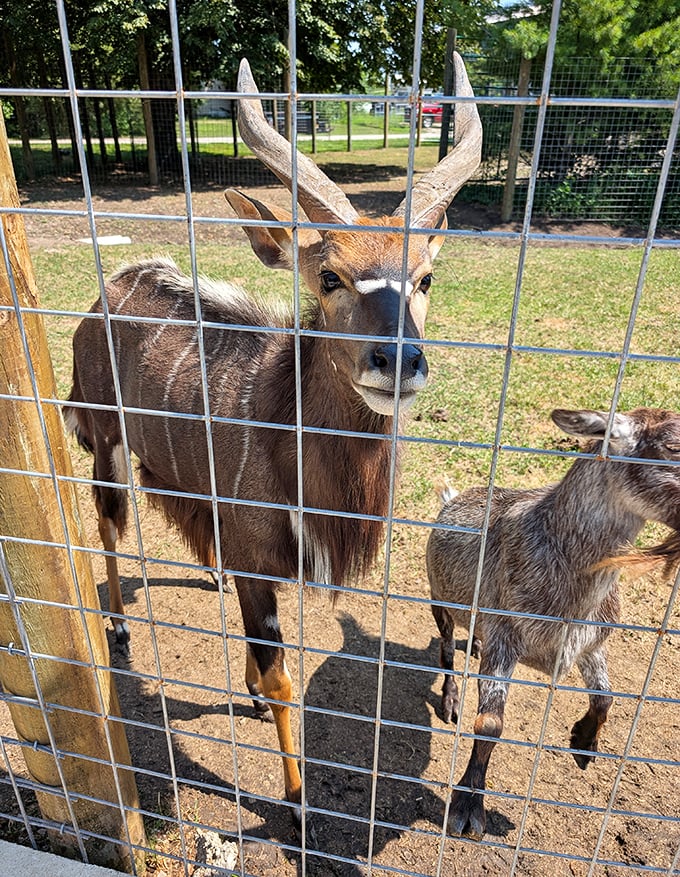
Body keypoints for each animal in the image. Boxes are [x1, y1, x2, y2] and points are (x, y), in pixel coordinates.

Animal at [65, 54, 482, 822]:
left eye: (426, 278)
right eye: (330, 276)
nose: (399, 361)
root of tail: (108, 291)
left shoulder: (253, 559)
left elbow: (268, 660)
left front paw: (254, 697)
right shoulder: (260, 563)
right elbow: (285, 678)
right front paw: (294, 797)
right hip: (105, 438)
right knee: (108, 521)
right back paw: (119, 628)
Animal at [426, 407, 680, 839]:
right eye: (673, 447)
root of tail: (453, 498)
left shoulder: (590, 642)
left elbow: (605, 697)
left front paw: (583, 743)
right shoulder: (504, 637)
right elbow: (489, 724)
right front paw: (467, 807)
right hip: (437, 597)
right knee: (445, 651)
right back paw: (451, 701)